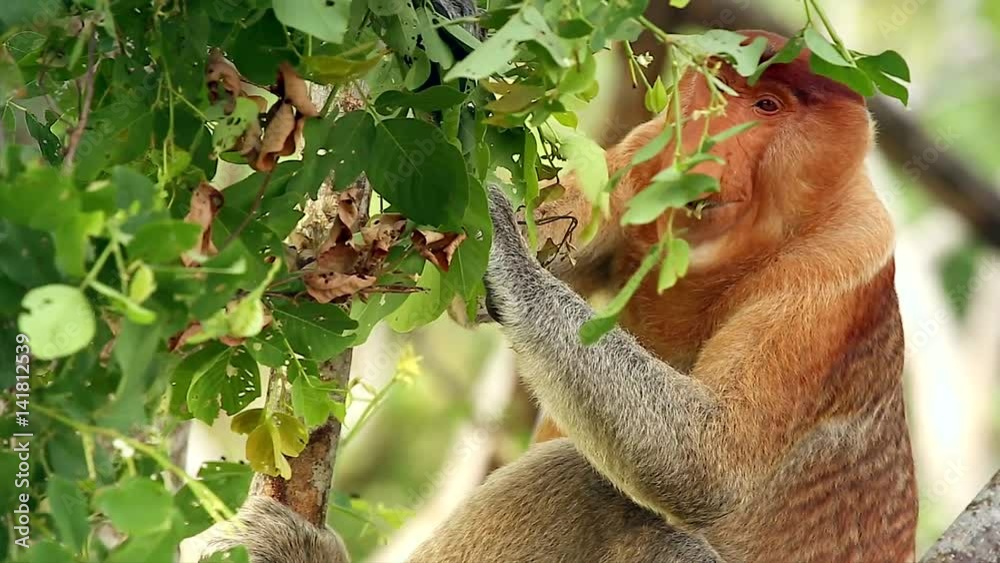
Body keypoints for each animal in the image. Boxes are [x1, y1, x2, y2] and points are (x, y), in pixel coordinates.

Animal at [191, 29, 917, 563]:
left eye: (766, 107)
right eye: (717, 94)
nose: (703, 148)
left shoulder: (833, 270)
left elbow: (708, 461)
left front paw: (498, 238)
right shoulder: (638, 162)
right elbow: (476, 289)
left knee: (598, 489)